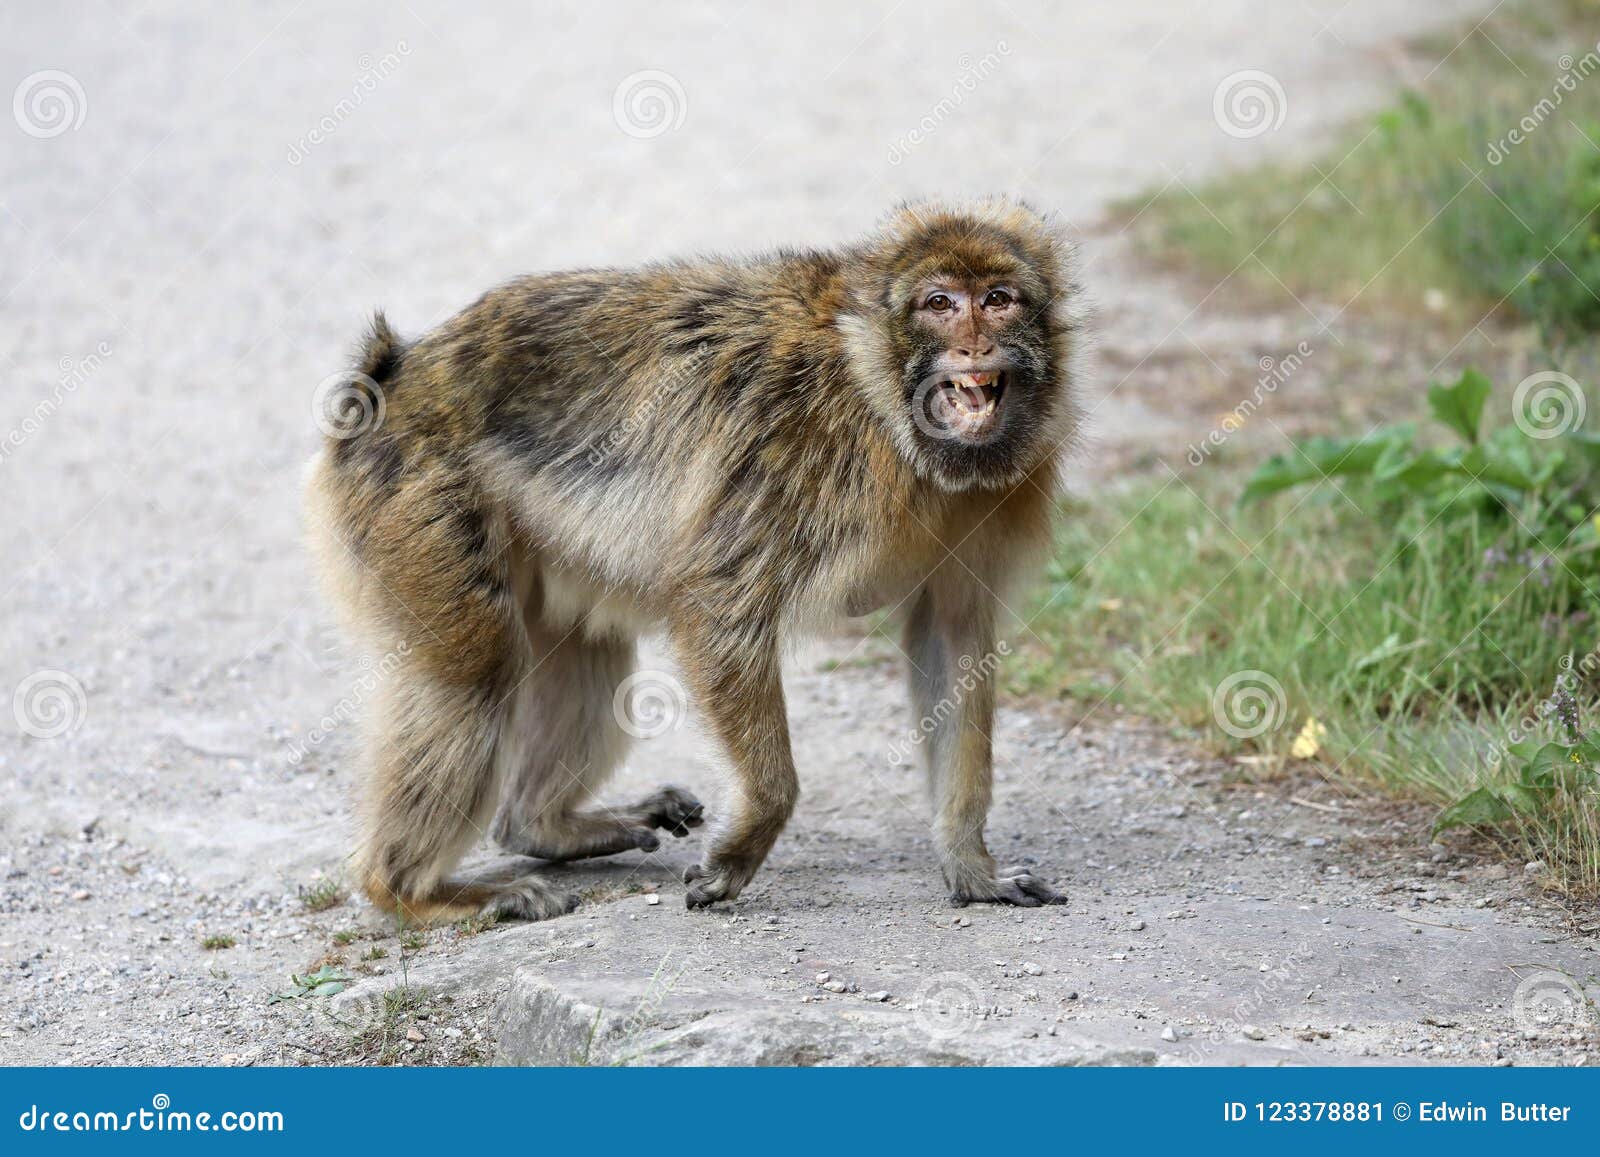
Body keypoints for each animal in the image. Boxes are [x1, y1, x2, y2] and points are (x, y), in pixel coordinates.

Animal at [304, 197, 1088, 922]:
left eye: (999, 299)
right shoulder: (798, 448)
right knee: (478, 670)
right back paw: (416, 889)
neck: (884, 407)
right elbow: (722, 611)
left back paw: (544, 827)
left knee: (585, 652)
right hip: (415, 504)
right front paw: (751, 837)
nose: (974, 346)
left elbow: (953, 637)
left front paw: (971, 865)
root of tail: (392, 374)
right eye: (939, 304)